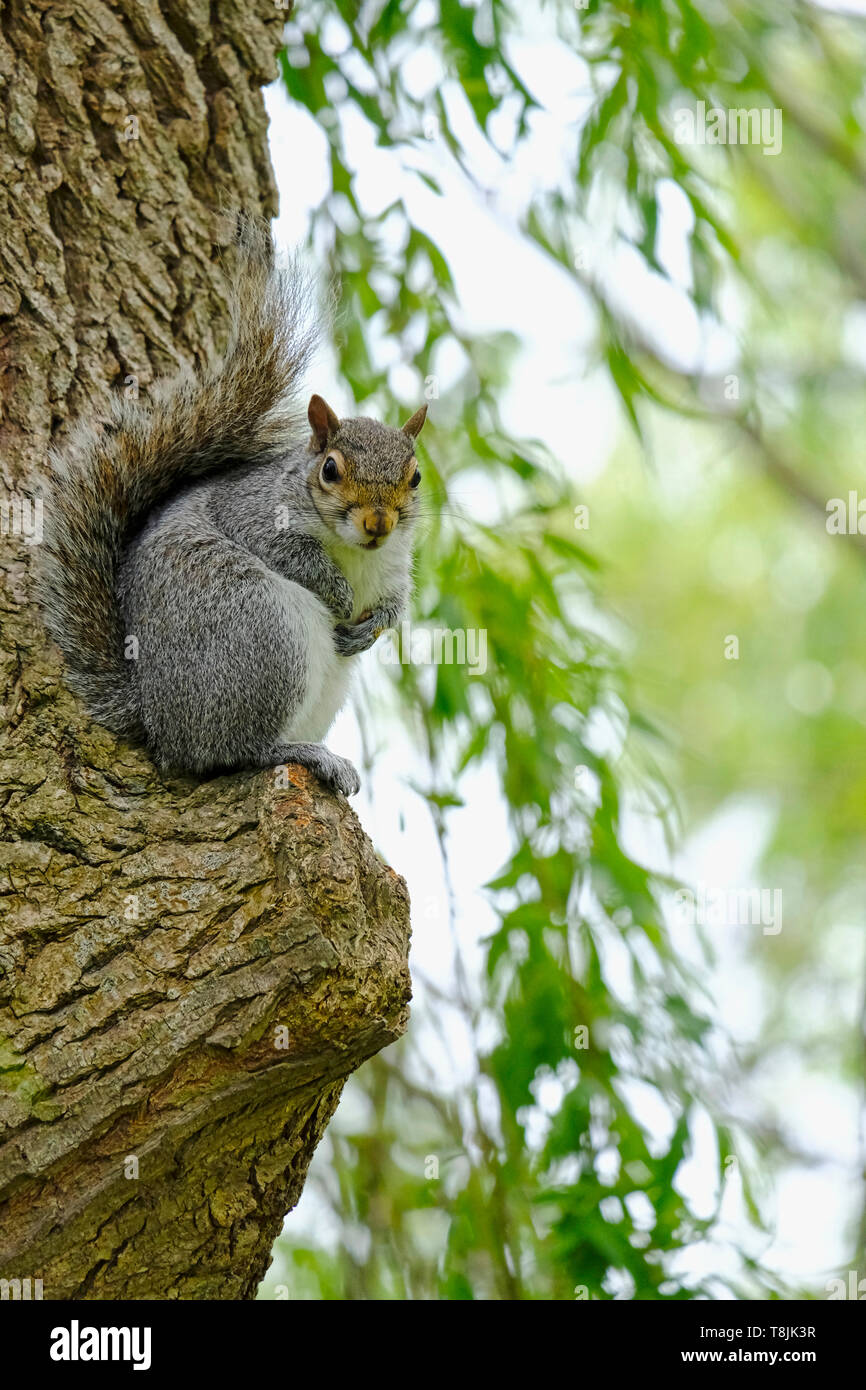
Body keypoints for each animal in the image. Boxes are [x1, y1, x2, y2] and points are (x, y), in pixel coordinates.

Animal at [39, 220, 427, 797]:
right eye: (330, 470)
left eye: (415, 477)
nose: (378, 524)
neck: (356, 551)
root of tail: (158, 721)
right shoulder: (254, 512)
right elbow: (292, 556)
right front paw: (337, 594)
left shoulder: (395, 562)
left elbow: (397, 601)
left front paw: (372, 626)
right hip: (260, 628)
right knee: (230, 752)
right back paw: (297, 752)